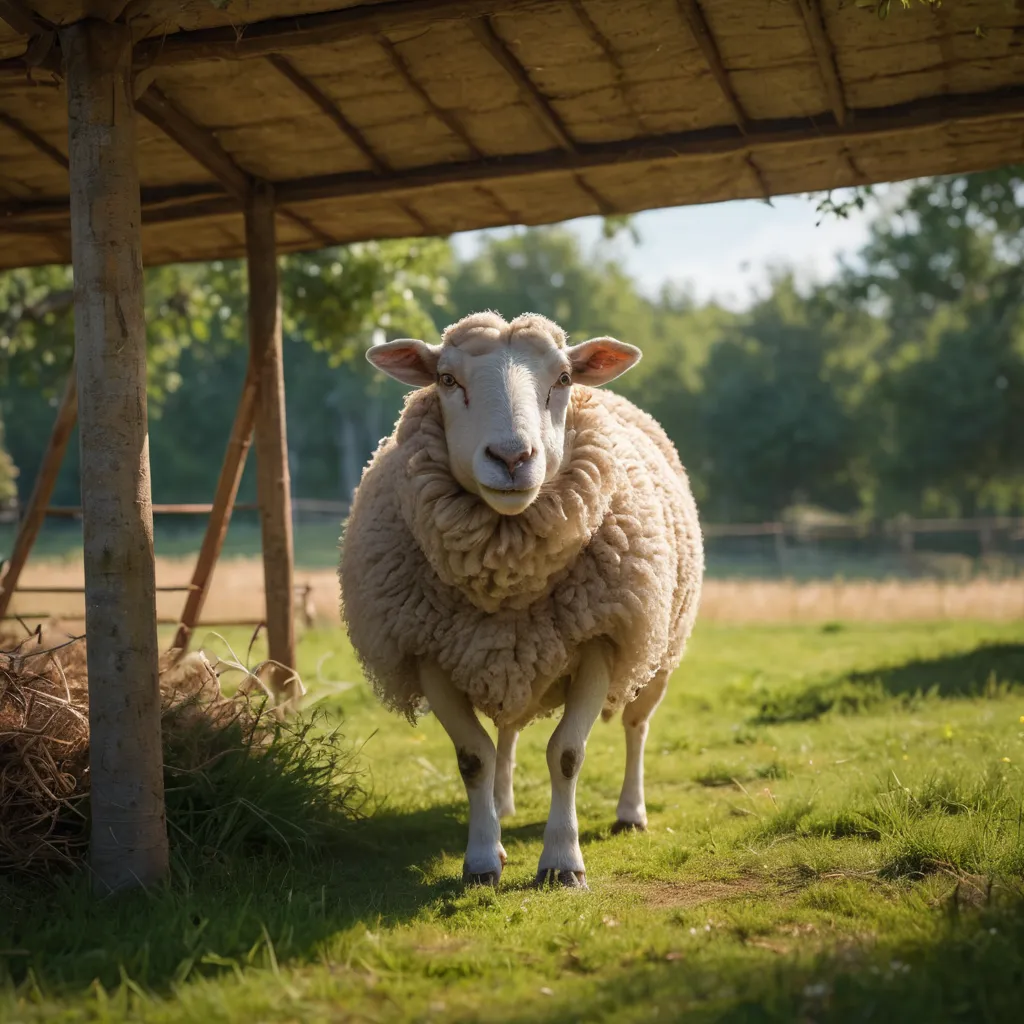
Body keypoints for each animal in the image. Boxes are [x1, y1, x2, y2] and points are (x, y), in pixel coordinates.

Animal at [339, 311, 703, 889]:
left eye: (564, 378)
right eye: (446, 380)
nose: (512, 457)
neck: (508, 577)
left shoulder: (600, 640)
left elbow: (567, 754)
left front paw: (562, 863)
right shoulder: (426, 651)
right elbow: (473, 757)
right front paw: (482, 860)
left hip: (656, 649)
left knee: (636, 726)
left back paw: (630, 811)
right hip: (500, 654)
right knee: (504, 735)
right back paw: (502, 805)